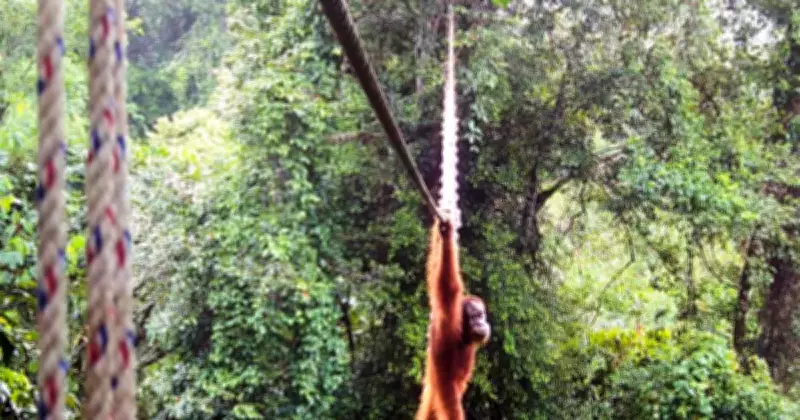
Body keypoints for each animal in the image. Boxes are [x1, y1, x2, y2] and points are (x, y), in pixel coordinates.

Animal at [416, 219, 490, 420]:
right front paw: (447, 235)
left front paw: (441, 233)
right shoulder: (449, 316)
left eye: (482, 315)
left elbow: (435, 268)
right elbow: (448, 286)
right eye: (475, 316)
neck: (463, 335)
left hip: (431, 397)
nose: (481, 323)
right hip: (439, 395)